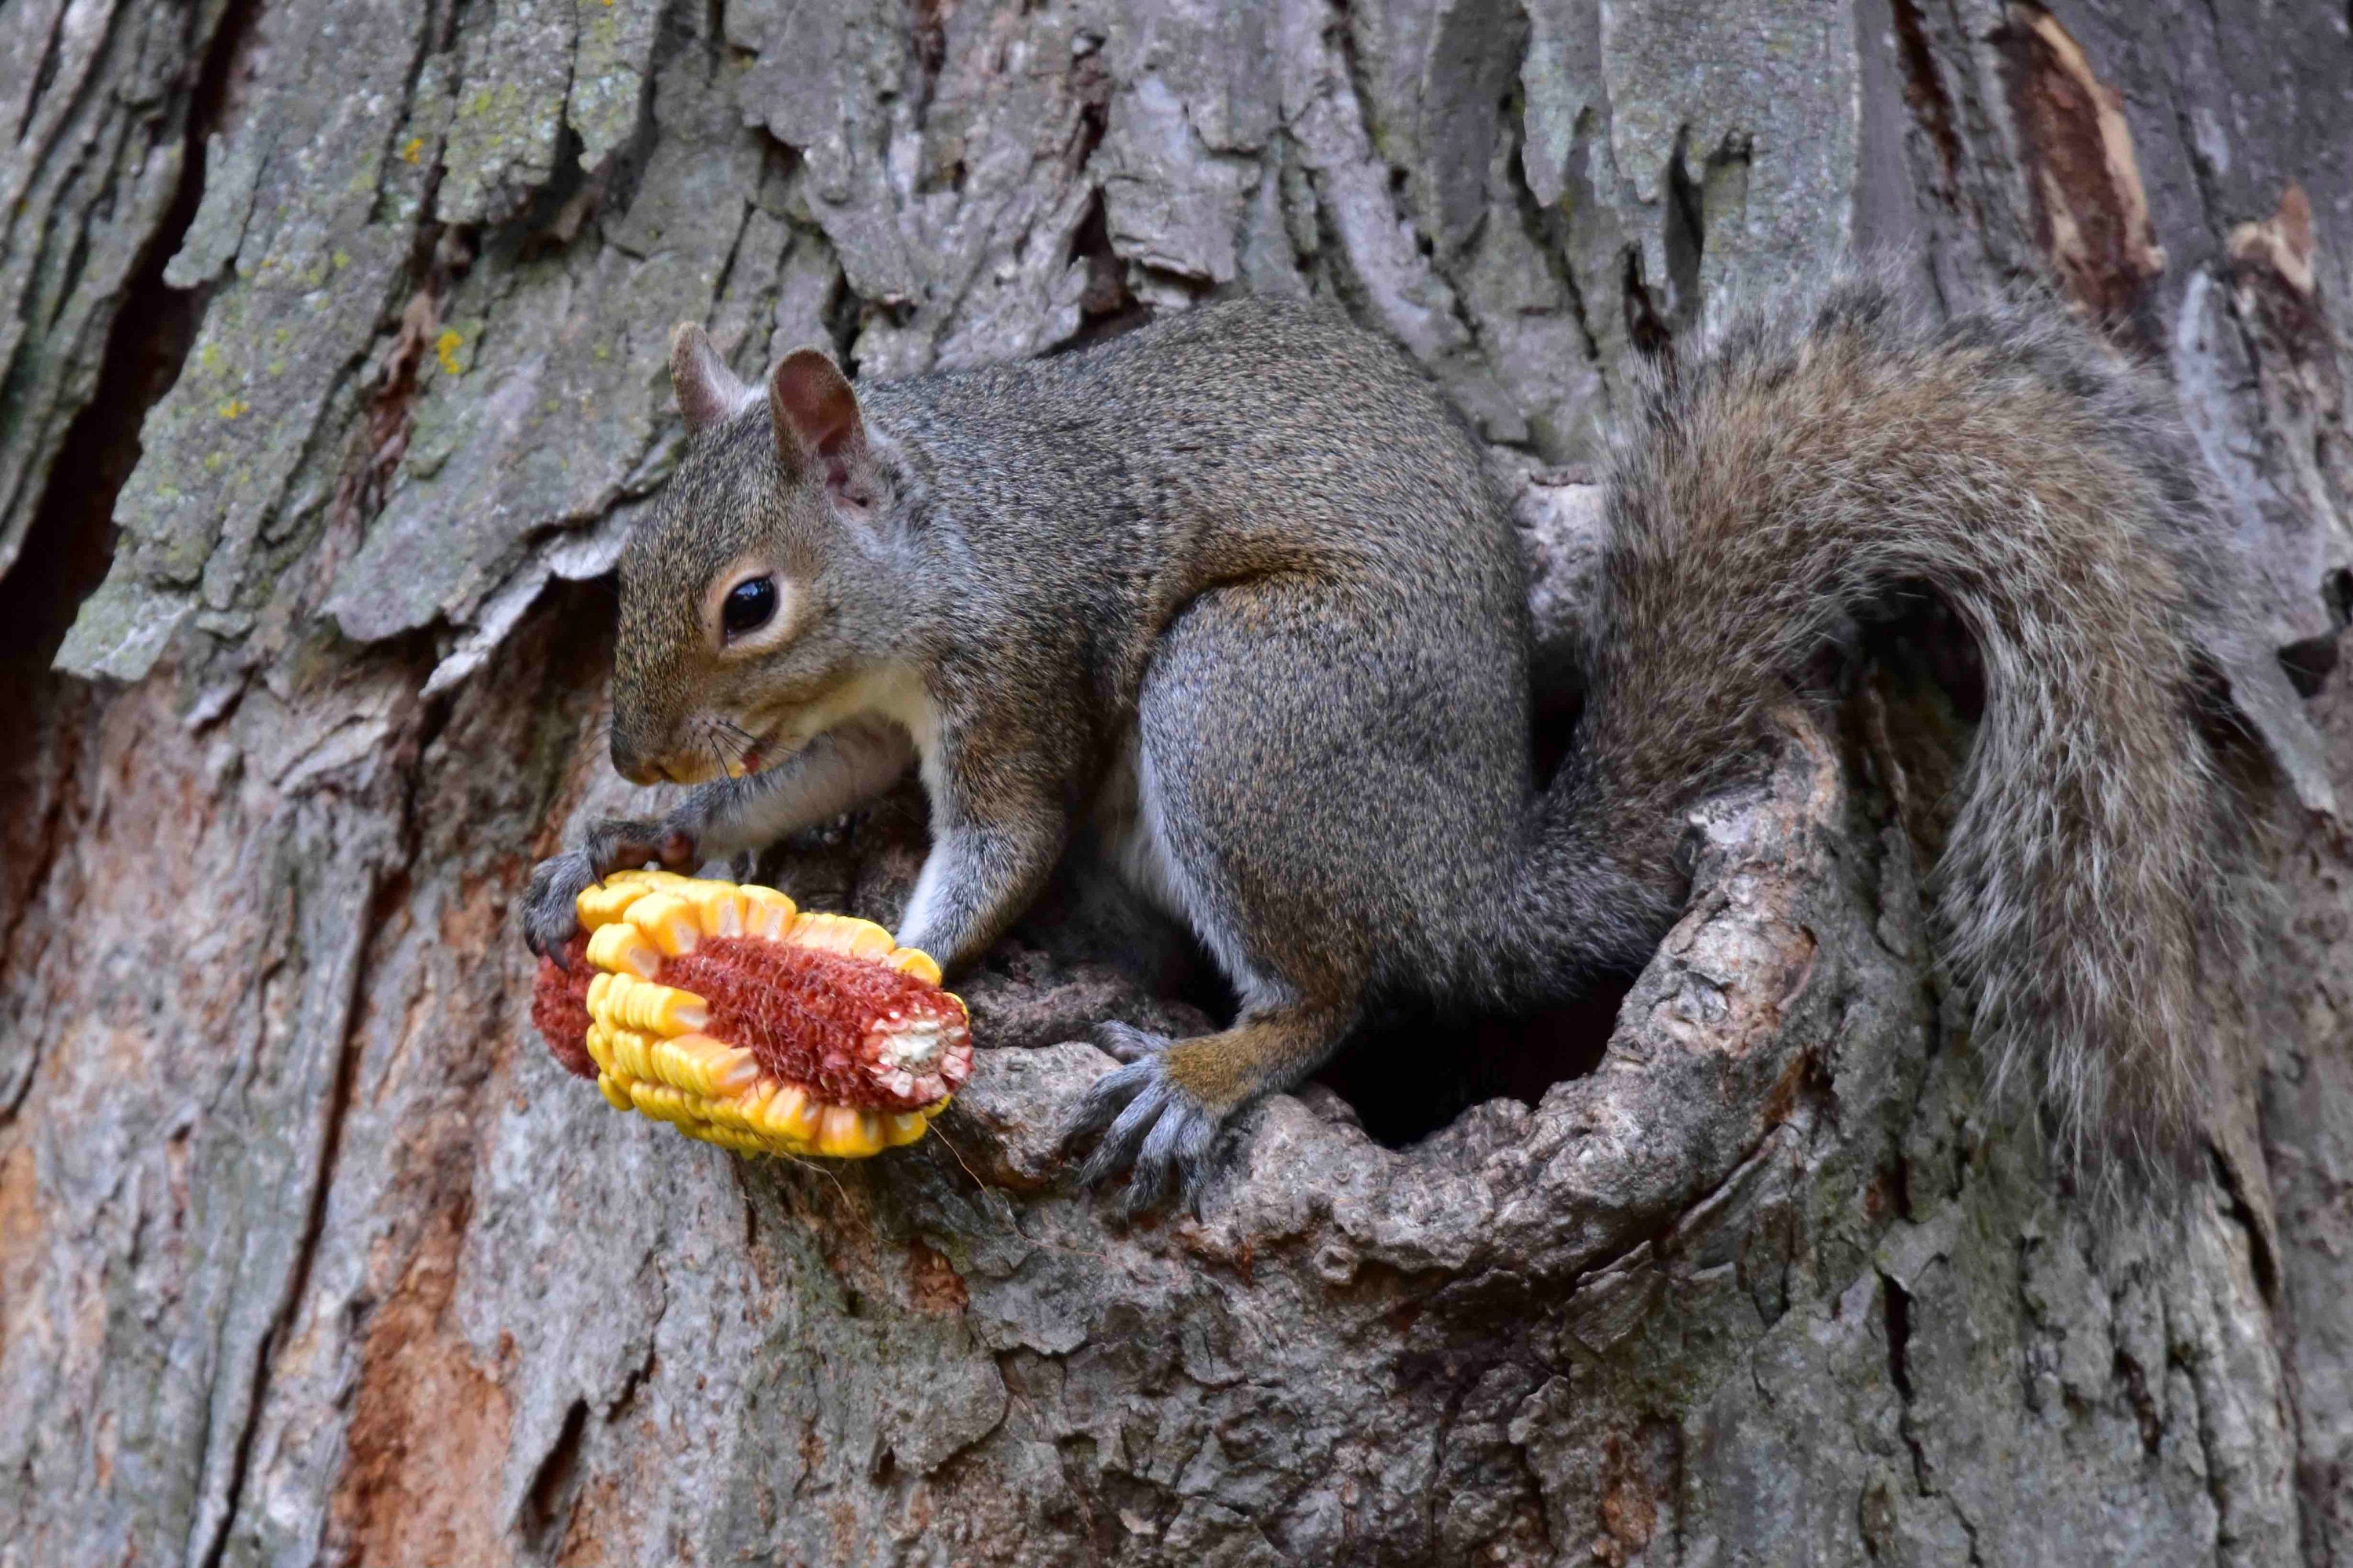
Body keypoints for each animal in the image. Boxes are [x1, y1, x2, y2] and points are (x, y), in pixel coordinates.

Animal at [523, 272, 2258, 1210]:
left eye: (751, 600)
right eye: (635, 564)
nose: (641, 746)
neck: (945, 543)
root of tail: (1466, 875)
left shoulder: (1019, 671)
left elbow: (1000, 843)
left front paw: (871, 984)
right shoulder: (880, 725)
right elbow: (818, 776)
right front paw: (639, 841)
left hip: (1240, 707)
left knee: (1332, 994)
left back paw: (1205, 1069)